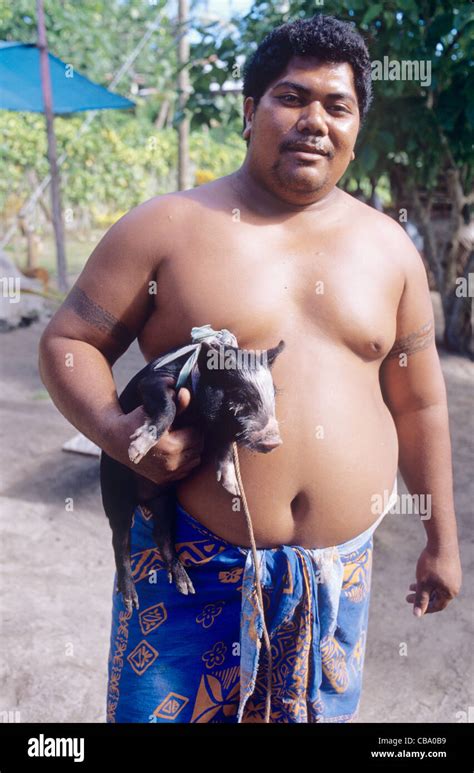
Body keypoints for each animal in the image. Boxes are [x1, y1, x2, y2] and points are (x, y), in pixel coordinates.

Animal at [100, 327, 285, 612]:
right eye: (241, 398)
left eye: (273, 395)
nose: (274, 442)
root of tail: (143, 497)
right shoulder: (155, 380)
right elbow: (168, 407)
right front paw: (136, 451)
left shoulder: (221, 428)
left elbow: (225, 446)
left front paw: (232, 488)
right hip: (112, 488)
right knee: (120, 540)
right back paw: (131, 601)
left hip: (165, 499)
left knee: (161, 533)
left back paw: (186, 586)